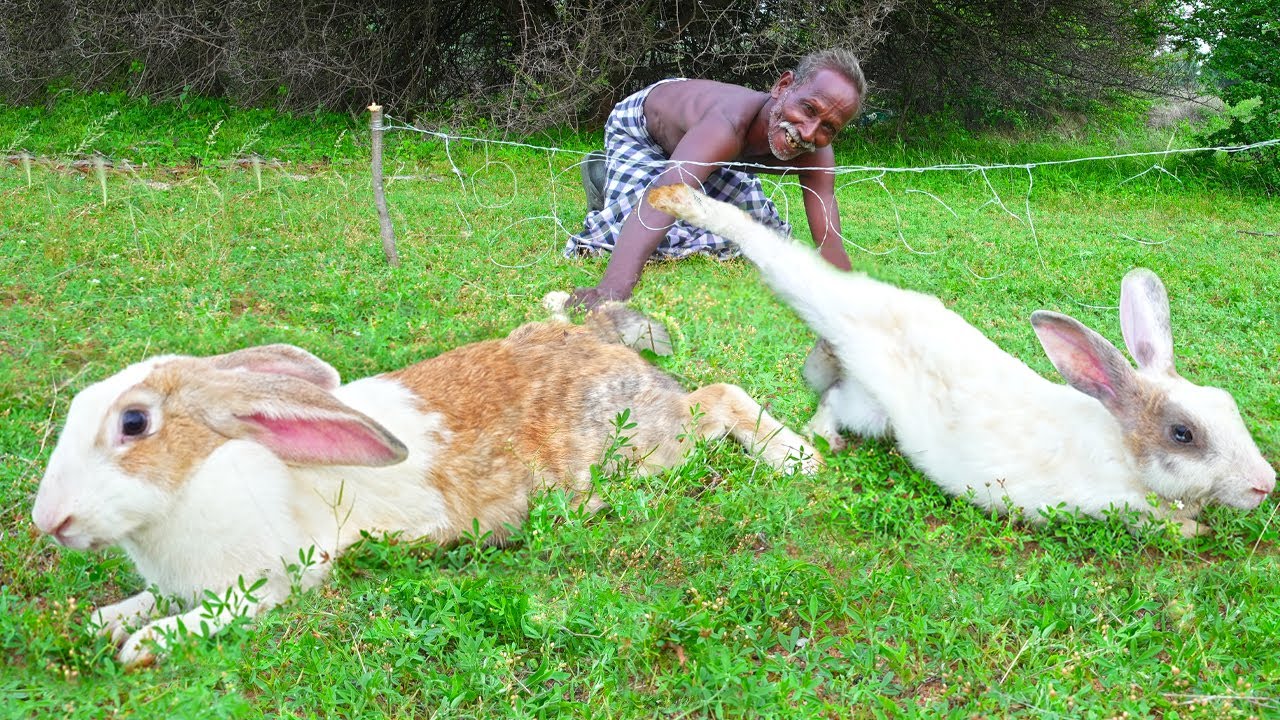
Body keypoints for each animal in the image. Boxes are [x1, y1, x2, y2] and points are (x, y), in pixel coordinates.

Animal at [31, 301, 817, 668]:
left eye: (134, 423)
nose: (50, 521)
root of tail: (597, 340)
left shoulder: (274, 581)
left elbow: (205, 617)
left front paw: (144, 646)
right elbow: (125, 610)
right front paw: (108, 620)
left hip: (641, 448)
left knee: (720, 397)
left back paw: (800, 460)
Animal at [647, 183, 1275, 537]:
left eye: (1228, 406)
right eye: (1182, 434)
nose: (1265, 485)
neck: (1118, 447)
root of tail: (849, 309)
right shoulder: (1106, 503)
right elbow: (1161, 522)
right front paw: (1193, 528)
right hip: (869, 405)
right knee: (827, 408)